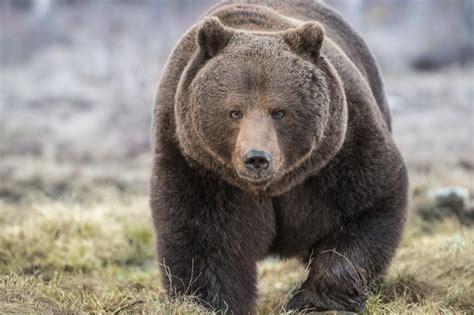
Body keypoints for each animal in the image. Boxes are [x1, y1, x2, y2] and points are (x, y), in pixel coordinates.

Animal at [151, 0, 408, 314]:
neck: (271, 187)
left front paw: (314, 302)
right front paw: (209, 303)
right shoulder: (196, 162)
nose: (257, 158)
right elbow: (203, 239)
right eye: (234, 111)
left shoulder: (340, 150)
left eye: (279, 111)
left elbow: (368, 205)